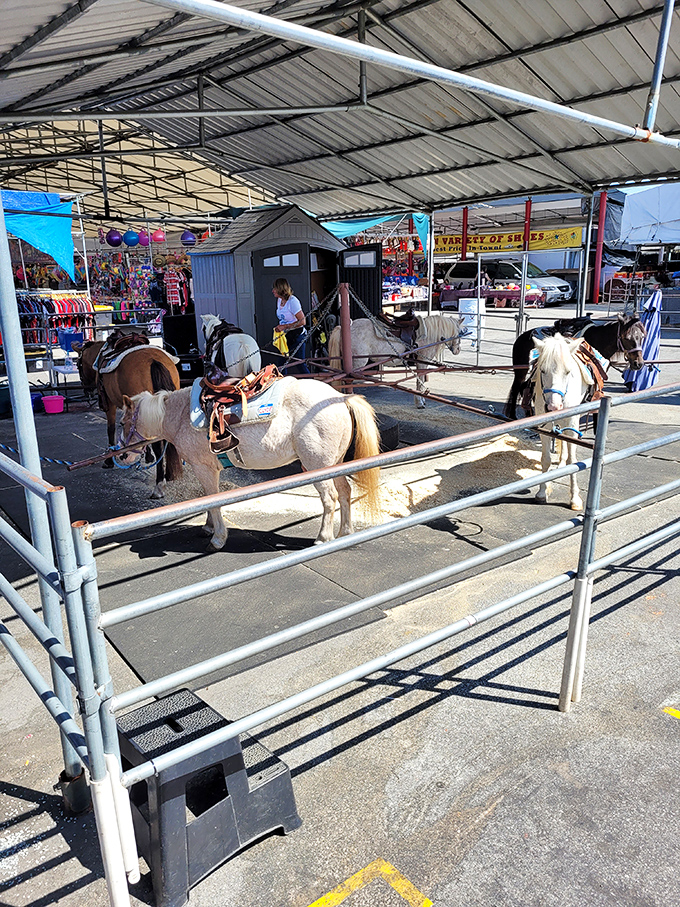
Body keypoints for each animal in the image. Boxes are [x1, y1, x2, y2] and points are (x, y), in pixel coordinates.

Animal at [72, 339, 182, 497]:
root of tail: (153, 360)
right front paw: (148, 456)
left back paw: (159, 485)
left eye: (78, 365)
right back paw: (169, 475)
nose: (87, 391)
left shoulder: (110, 405)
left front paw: (109, 461)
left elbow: (110, 429)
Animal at [120, 377, 382, 550]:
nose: (121, 457)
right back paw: (345, 533)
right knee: (345, 492)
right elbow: (209, 499)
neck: (181, 415)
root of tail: (341, 398)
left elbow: (214, 500)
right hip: (336, 463)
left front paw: (218, 538)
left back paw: (323, 538)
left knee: (330, 498)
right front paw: (208, 527)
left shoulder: (204, 468)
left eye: (122, 423)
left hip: (317, 467)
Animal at [327, 313, 463, 407]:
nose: (458, 350)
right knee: (347, 382)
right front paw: (420, 402)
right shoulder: (422, 363)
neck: (428, 333)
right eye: (460, 332)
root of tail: (344, 328)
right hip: (356, 365)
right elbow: (420, 382)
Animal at [505, 314, 646, 419]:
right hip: (521, 371)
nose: (638, 363)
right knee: (517, 388)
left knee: (524, 388)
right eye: (627, 337)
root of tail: (521, 338)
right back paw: (512, 416)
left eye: (642, 337)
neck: (598, 341)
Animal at [531, 334, 594, 512]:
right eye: (542, 370)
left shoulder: (572, 424)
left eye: (568, 372)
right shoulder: (544, 426)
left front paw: (575, 499)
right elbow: (545, 459)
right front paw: (542, 492)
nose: (554, 407)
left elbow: (573, 461)